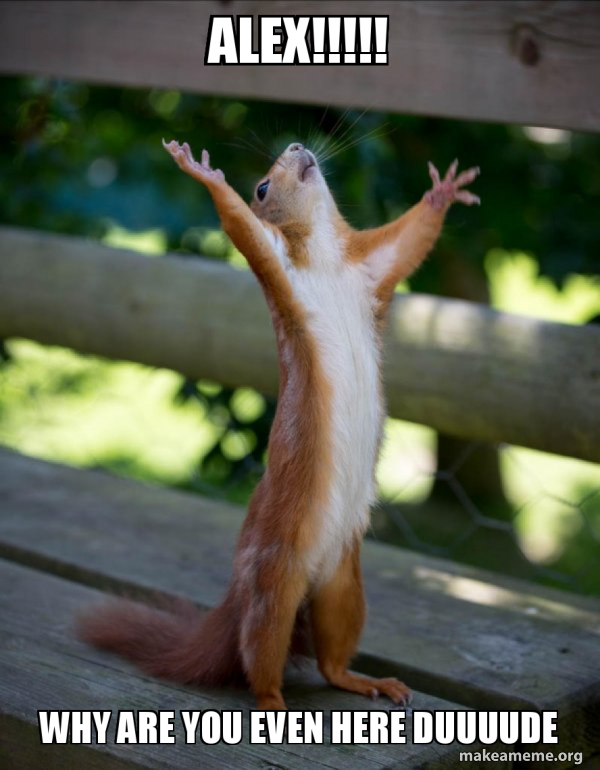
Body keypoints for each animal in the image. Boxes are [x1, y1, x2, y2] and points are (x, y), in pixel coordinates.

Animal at [78, 138, 479, 711]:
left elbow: (410, 240)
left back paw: (366, 681)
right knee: (259, 655)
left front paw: (442, 192)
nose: (296, 146)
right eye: (262, 187)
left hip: (344, 586)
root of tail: (238, 596)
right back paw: (274, 702)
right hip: (274, 583)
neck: (326, 258)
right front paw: (204, 173)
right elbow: (240, 225)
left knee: (332, 659)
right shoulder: (276, 264)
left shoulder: (372, 267)